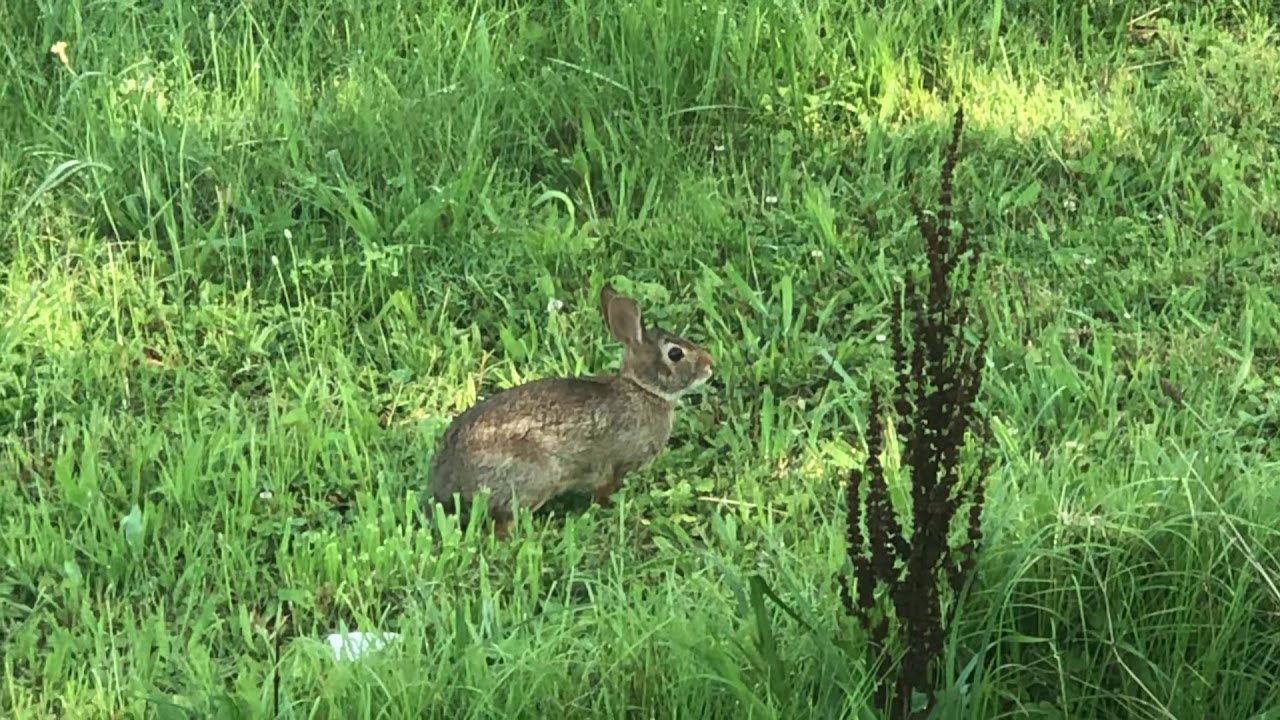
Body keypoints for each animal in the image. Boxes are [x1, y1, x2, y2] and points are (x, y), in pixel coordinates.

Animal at [427, 284, 714, 538]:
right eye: (675, 354)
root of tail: (447, 483)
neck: (642, 389)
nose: (710, 365)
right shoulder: (614, 466)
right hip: (535, 479)